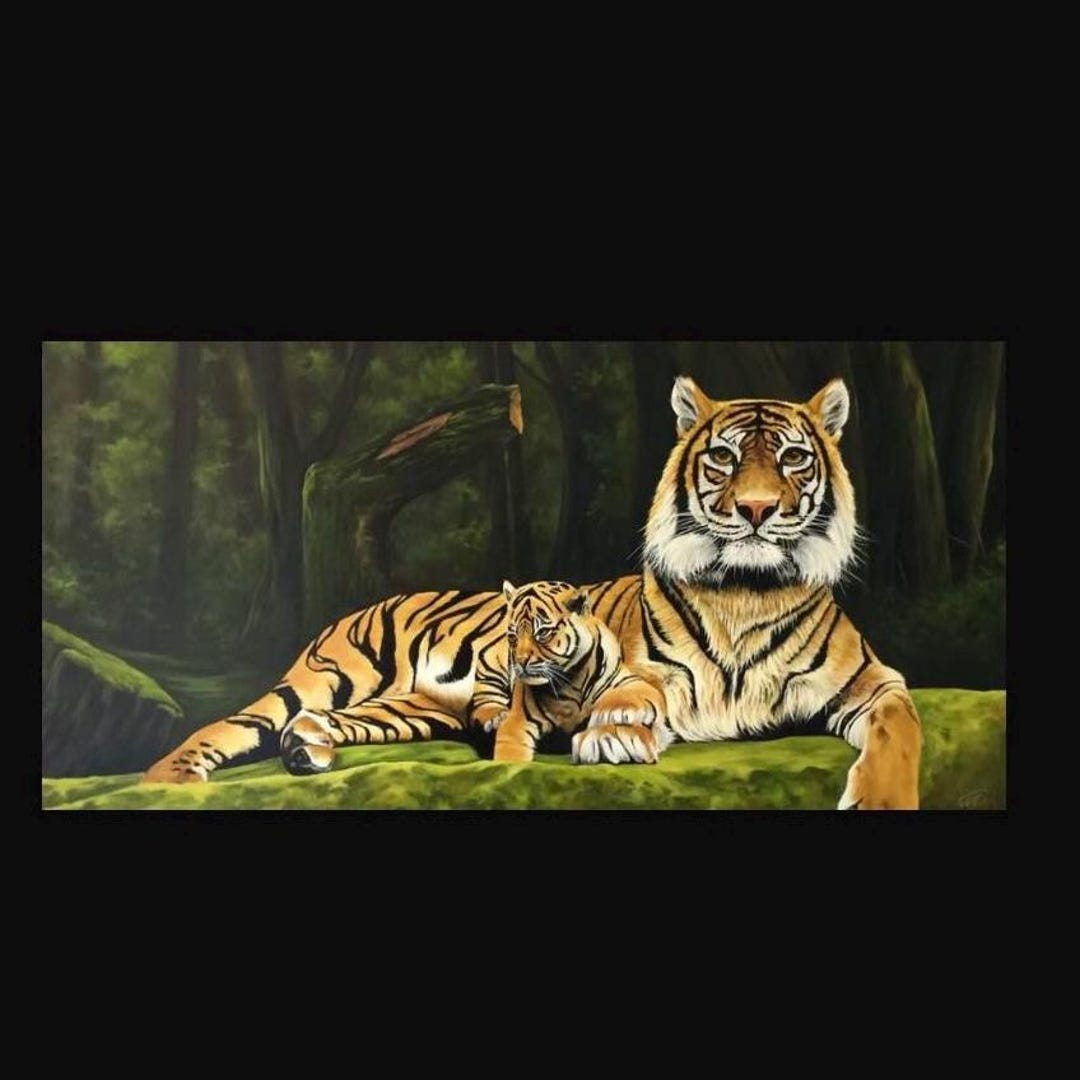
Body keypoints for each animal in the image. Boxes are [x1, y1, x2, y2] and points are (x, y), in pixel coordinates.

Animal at [485, 580, 672, 765]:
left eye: (543, 632)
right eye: (513, 636)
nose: (521, 661)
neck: (571, 679)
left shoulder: (634, 682)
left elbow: (629, 695)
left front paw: (607, 714)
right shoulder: (517, 721)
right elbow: (510, 755)